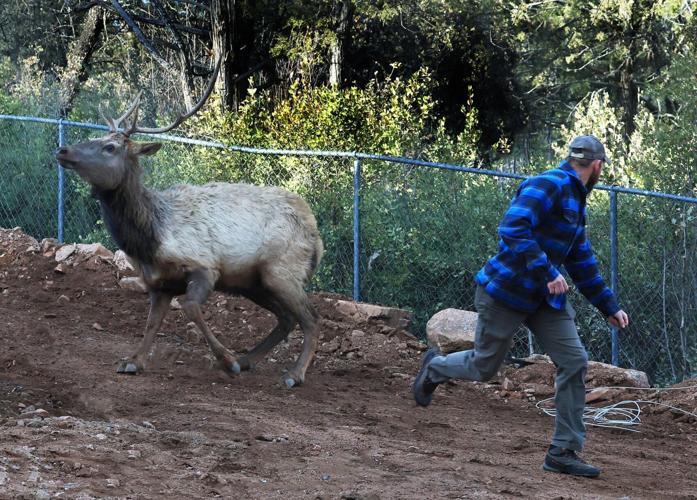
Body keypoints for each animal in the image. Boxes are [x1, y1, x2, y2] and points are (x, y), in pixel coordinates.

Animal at [54, 59, 324, 388]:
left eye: (110, 147)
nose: (63, 150)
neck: (149, 240)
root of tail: (316, 235)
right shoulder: (157, 283)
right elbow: (151, 322)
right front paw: (133, 361)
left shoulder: (205, 266)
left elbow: (191, 307)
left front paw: (227, 360)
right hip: (252, 282)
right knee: (286, 319)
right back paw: (250, 359)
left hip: (283, 271)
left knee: (311, 319)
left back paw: (293, 374)